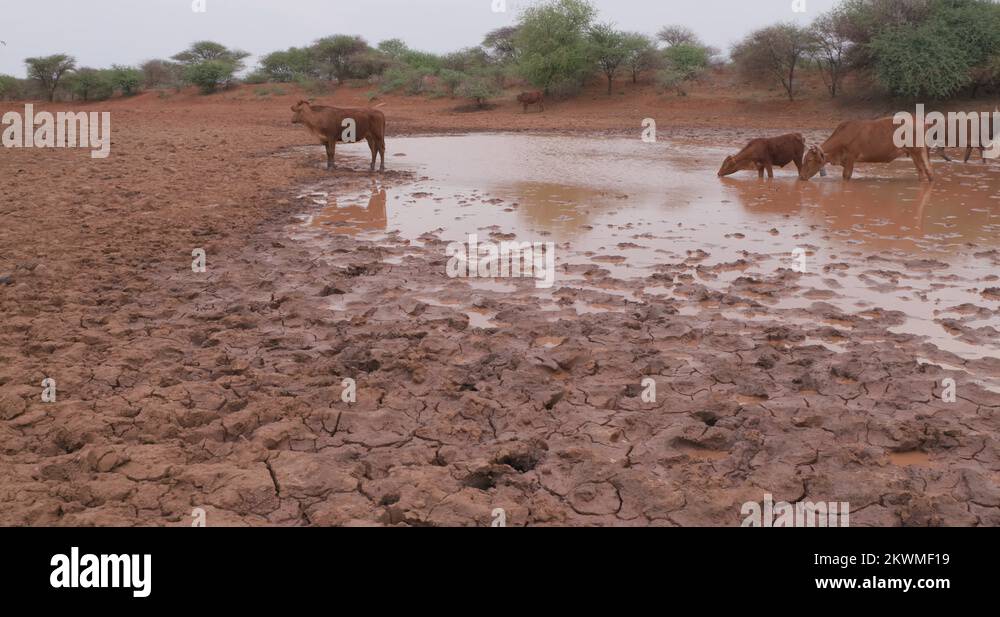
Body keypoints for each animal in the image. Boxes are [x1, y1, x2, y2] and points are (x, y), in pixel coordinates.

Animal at [799, 117, 933, 182]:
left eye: (809, 160)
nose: (801, 176)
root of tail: (920, 121)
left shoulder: (851, 157)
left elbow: (846, 175)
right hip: (916, 152)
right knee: (926, 172)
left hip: (916, 151)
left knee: (924, 171)